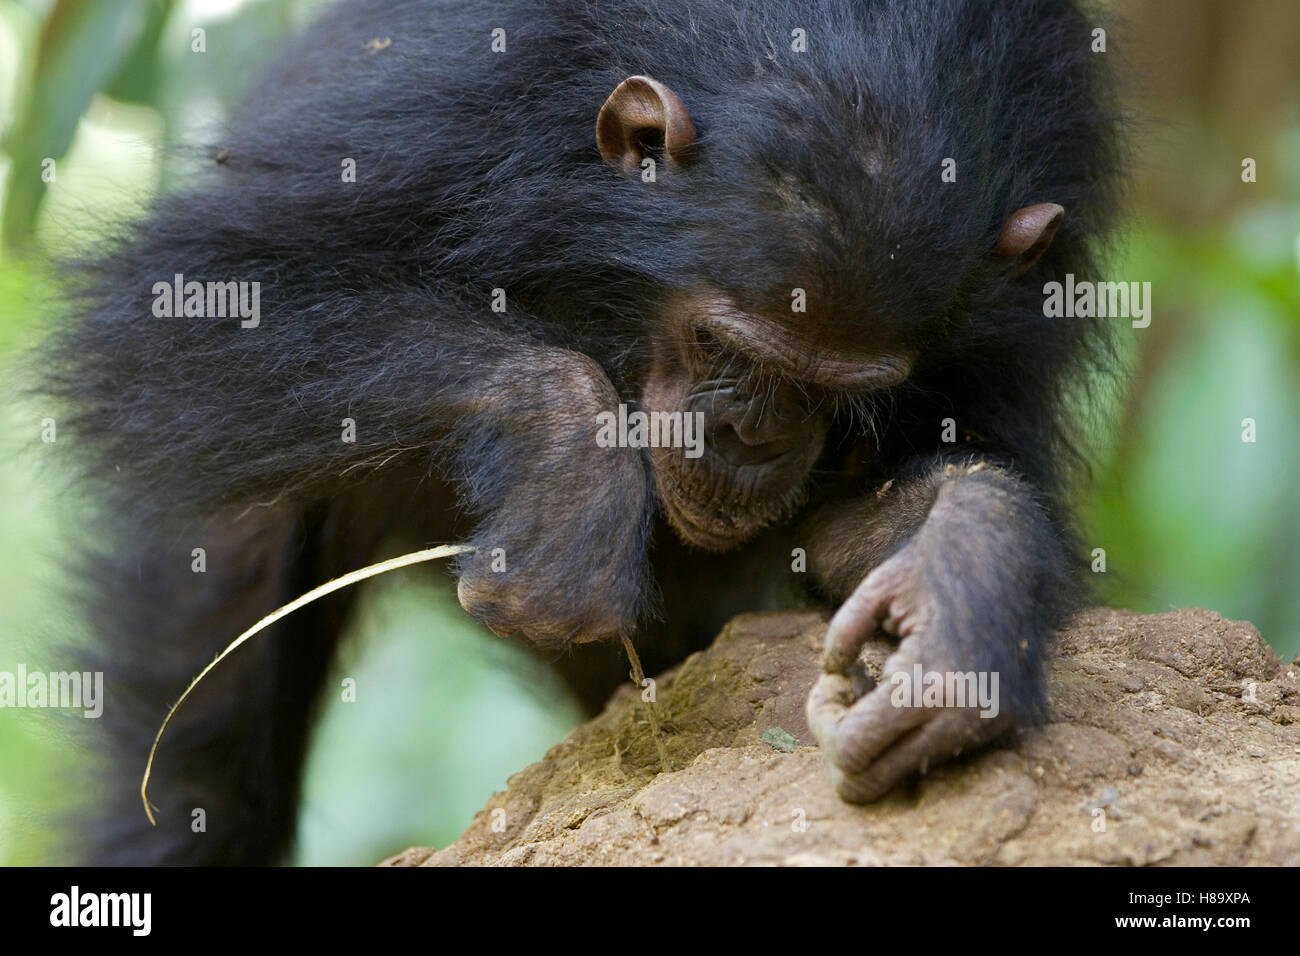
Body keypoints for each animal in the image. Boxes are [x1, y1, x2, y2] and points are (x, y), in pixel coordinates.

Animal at [45, 0, 1120, 864]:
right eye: (719, 342)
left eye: (844, 390)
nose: (749, 436)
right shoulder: (445, 113)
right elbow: (188, 302)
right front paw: (568, 464)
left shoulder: (1028, 295)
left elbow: (890, 510)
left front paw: (957, 592)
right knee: (206, 750)